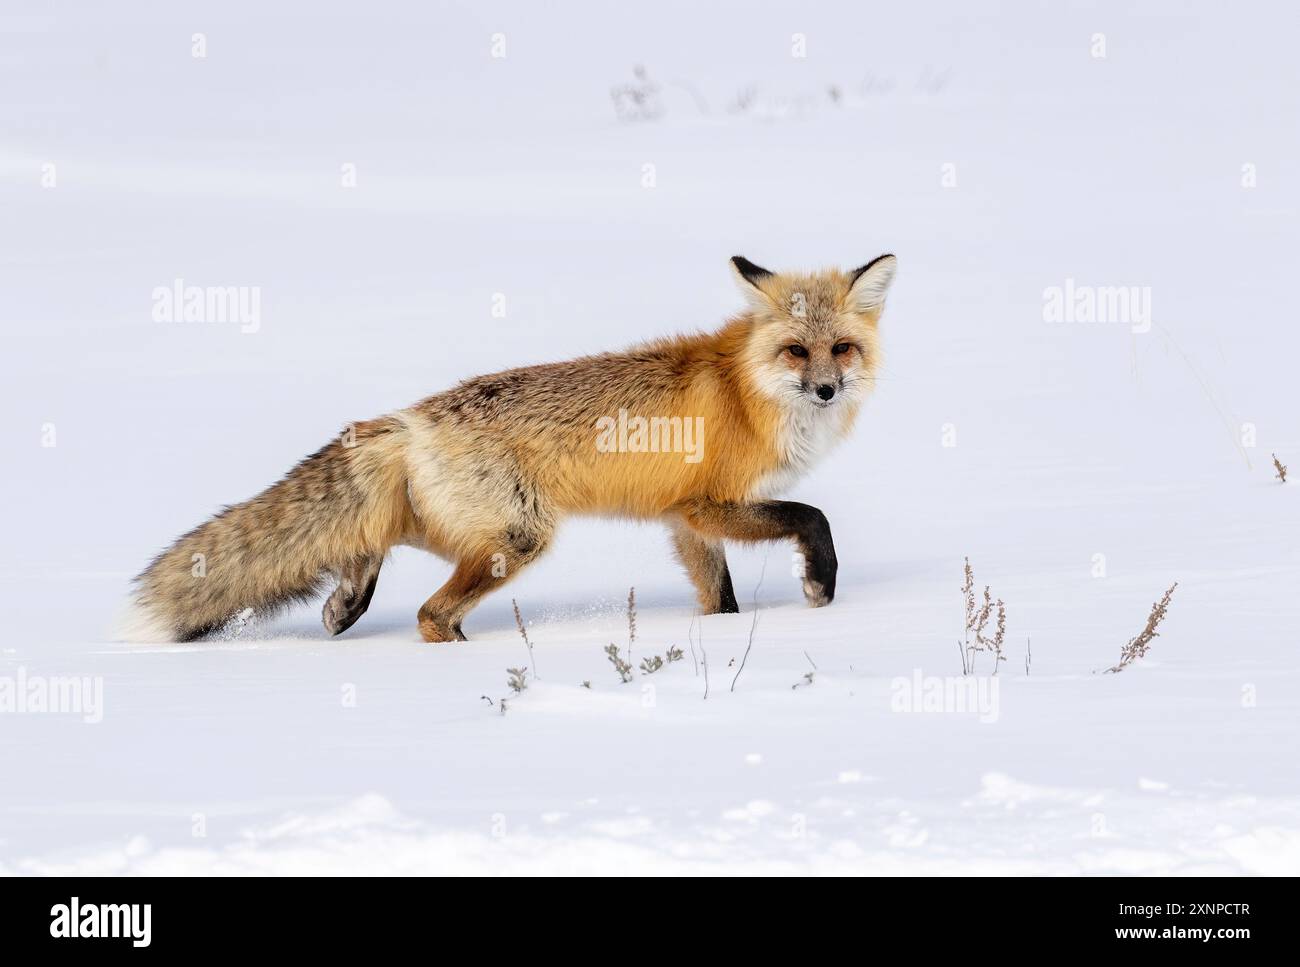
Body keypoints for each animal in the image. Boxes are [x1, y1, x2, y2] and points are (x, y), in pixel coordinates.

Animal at [119, 254, 897, 644]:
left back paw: (347, 603)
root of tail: (406, 418)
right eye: (796, 350)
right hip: (518, 537)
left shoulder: (683, 521)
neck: (747, 389)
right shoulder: (710, 503)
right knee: (431, 612)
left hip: (474, 529)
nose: (826, 389)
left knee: (375, 542)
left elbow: (722, 603)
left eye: (841, 348)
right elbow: (813, 517)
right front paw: (820, 588)